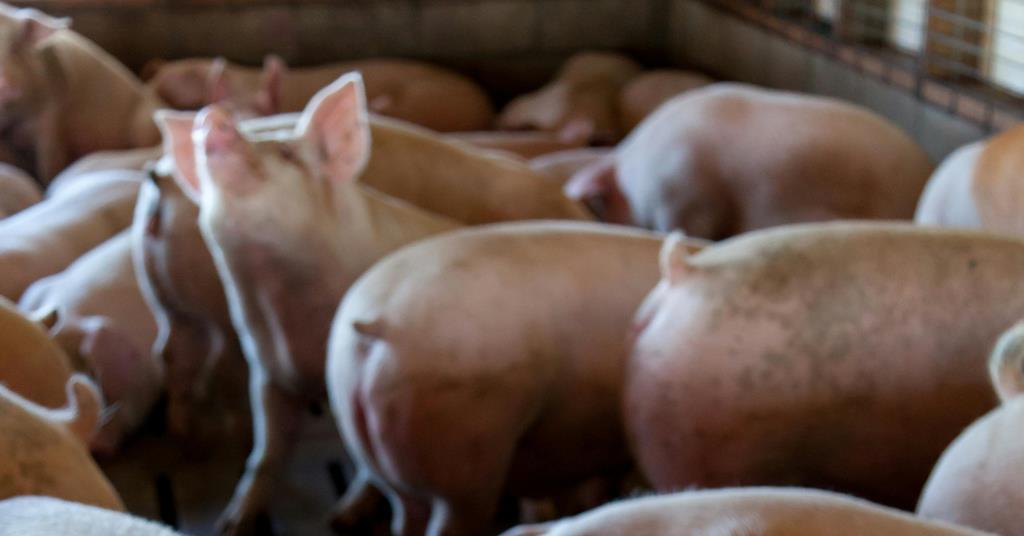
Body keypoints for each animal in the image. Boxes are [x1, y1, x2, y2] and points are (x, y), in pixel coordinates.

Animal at [0, 4, 162, 182]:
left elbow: (49, 162)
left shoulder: (52, 109)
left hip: (144, 122)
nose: (5, 84)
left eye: (15, 48)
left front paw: (47, 182)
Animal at [159, 73, 461, 534]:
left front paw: (341, 518)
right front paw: (231, 523)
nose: (213, 116)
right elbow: (265, 450)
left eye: (286, 154)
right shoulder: (267, 369)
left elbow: (367, 464)